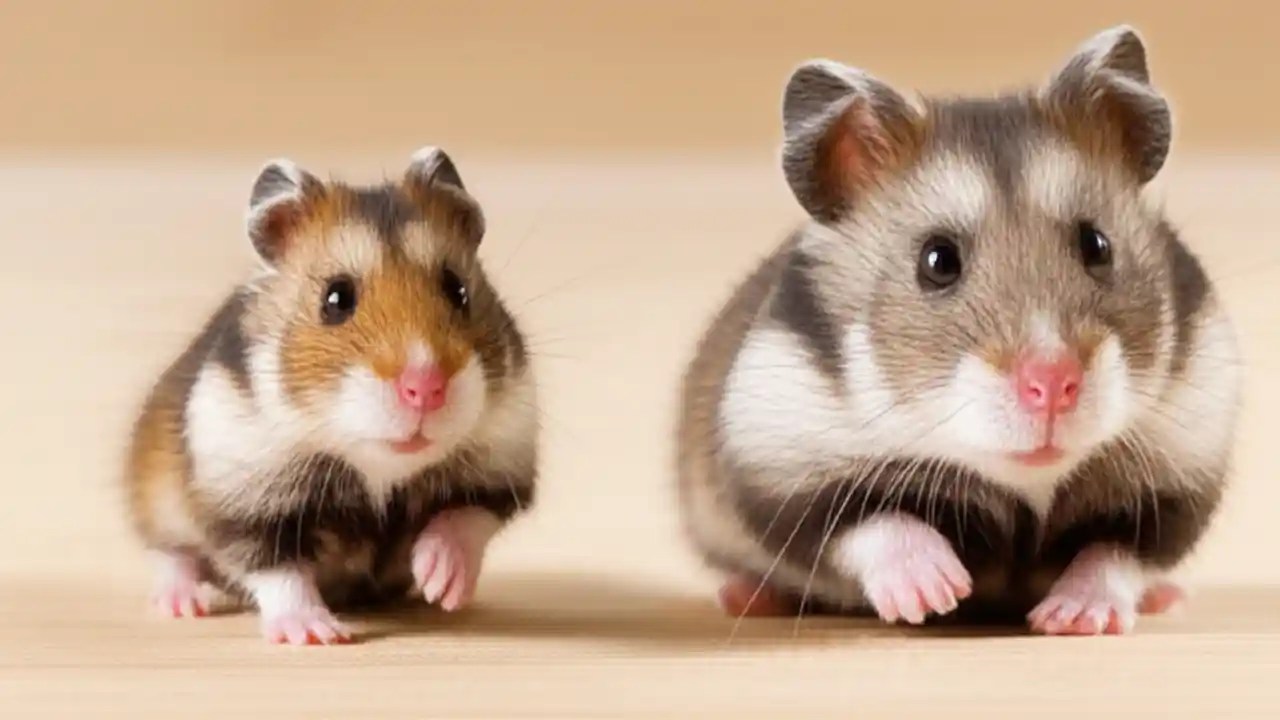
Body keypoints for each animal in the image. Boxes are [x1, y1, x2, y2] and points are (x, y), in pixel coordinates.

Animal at [125, 147, 538, 644]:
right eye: (336, 299)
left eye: (457, 289)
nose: (426, 387)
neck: (379, 468)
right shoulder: (246, 502)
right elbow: (280, 571)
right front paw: (316, 634)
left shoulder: (503, 462)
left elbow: (468, 516)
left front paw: (440, 583)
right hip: (157, 496)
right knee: (174, 554)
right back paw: (183, 605)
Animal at [676, 26, 1241, 635]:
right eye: (937, 260)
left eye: (1096, 245)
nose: (1053, 384)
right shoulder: (781, 471)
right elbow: (871, 522)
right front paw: (936, 592)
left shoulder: (1179, 475)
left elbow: (1117, 552)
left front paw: (1070, 618)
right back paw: (749, 599)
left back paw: (1167, 598)